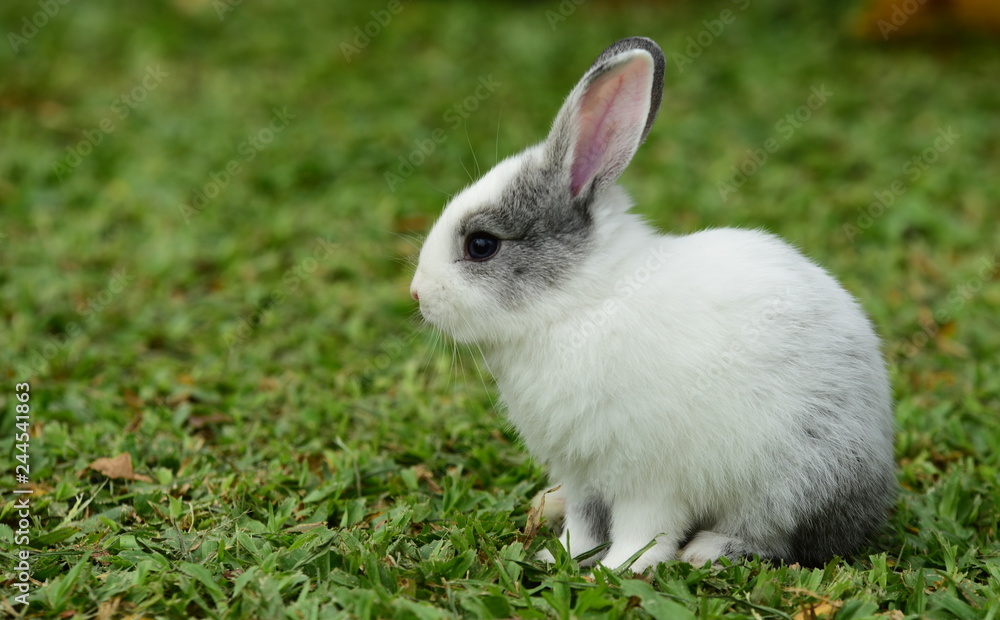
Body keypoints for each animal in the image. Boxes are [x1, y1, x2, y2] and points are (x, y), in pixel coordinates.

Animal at [409, 36, 895, 572]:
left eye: (481, 245)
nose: (417, 293)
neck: (579, 304)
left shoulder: (649, 481)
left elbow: (645, 531)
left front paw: (619, 570)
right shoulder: (583, 475)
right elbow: (583, 525)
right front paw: (558, 557)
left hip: (792, 484)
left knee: (777, 539)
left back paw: (707, 551)